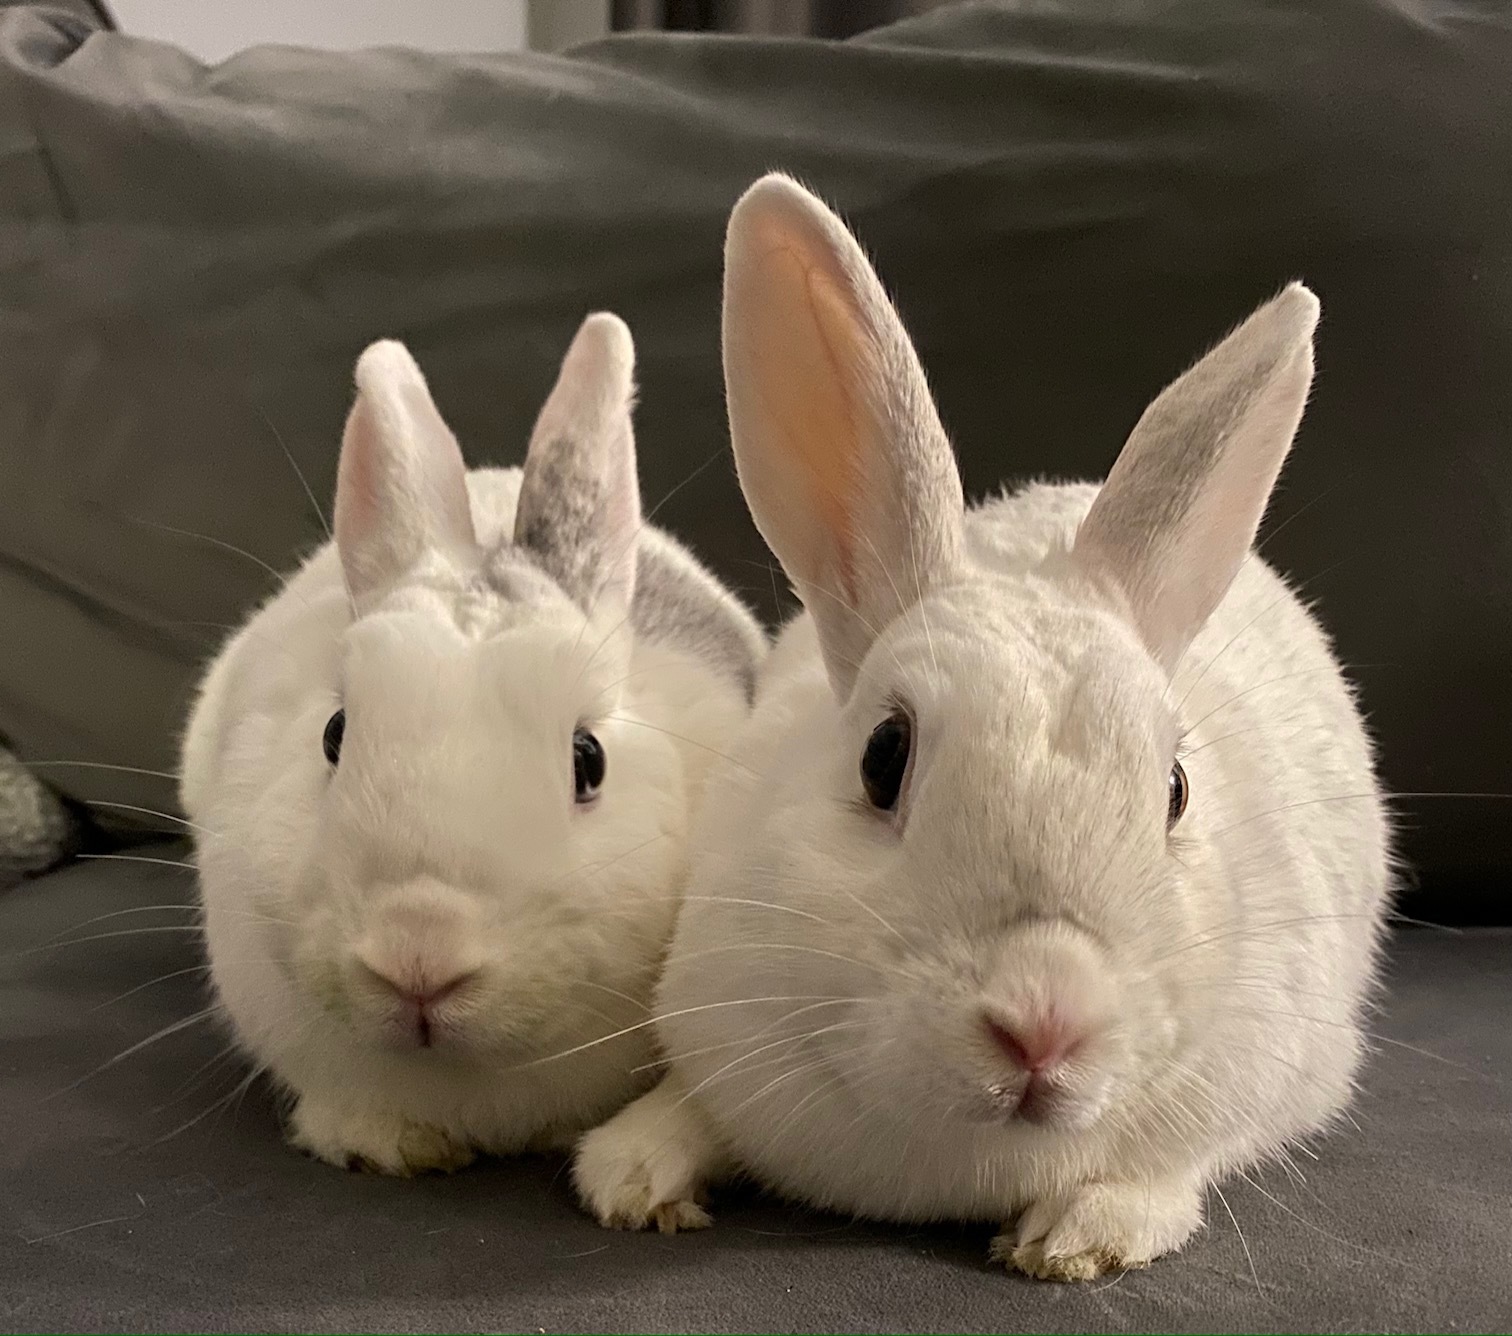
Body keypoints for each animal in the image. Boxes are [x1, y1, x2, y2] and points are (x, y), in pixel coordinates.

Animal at [572, 176, 1390, 1279]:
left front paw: (1083, 1238)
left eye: (1176, 790)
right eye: (884, 758)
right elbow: (691, 1108)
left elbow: (1170, 1167)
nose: (1047, 1025)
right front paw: (629, 1175)